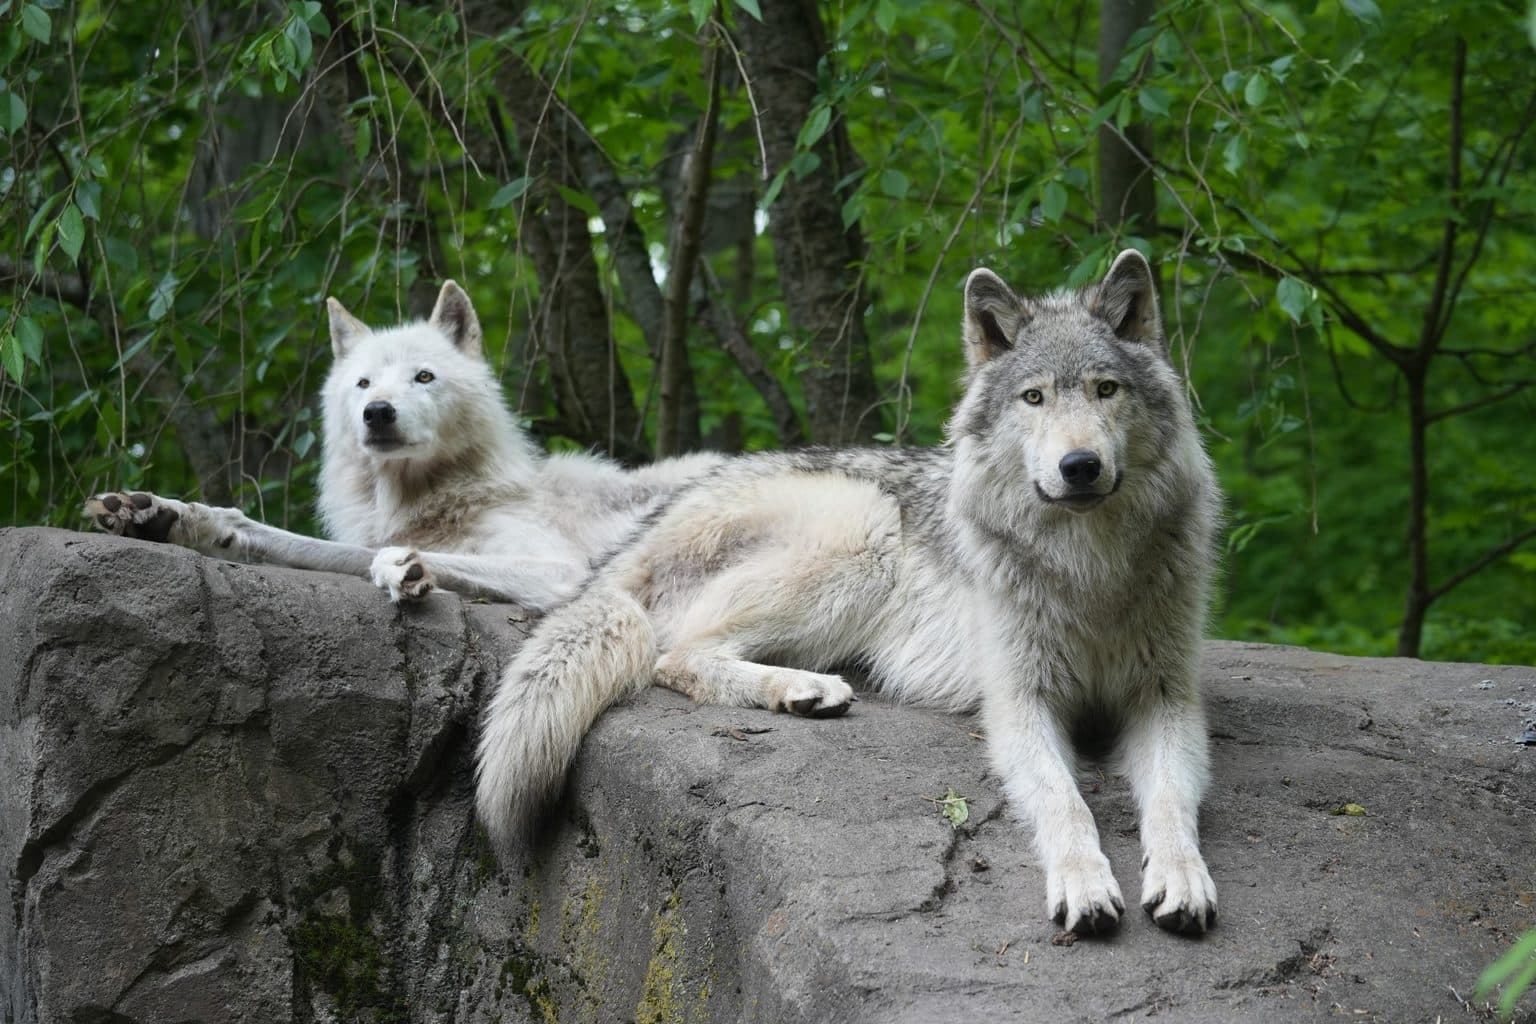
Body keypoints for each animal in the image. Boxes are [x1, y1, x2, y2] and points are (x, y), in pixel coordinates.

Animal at [86, 281, 721, 608]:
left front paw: (398, 572)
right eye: (364, 384)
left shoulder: (559, 570)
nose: (378, 413)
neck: (432, 498)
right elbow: (288, 540)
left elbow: (374, 556)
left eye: (423, 377)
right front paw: (165, 515)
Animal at [475, 250, 1221, 936]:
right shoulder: (1020, 702)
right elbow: (1066, 802)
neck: (1088, 568)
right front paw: (1084, 884)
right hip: (862, 531)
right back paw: (804, 689)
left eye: (1105, 389)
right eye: (1033, 397)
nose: (1080, 466)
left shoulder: (1164, 697)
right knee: (675, 655)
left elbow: (1170, 803)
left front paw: (1181, 877)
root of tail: (663, 510)